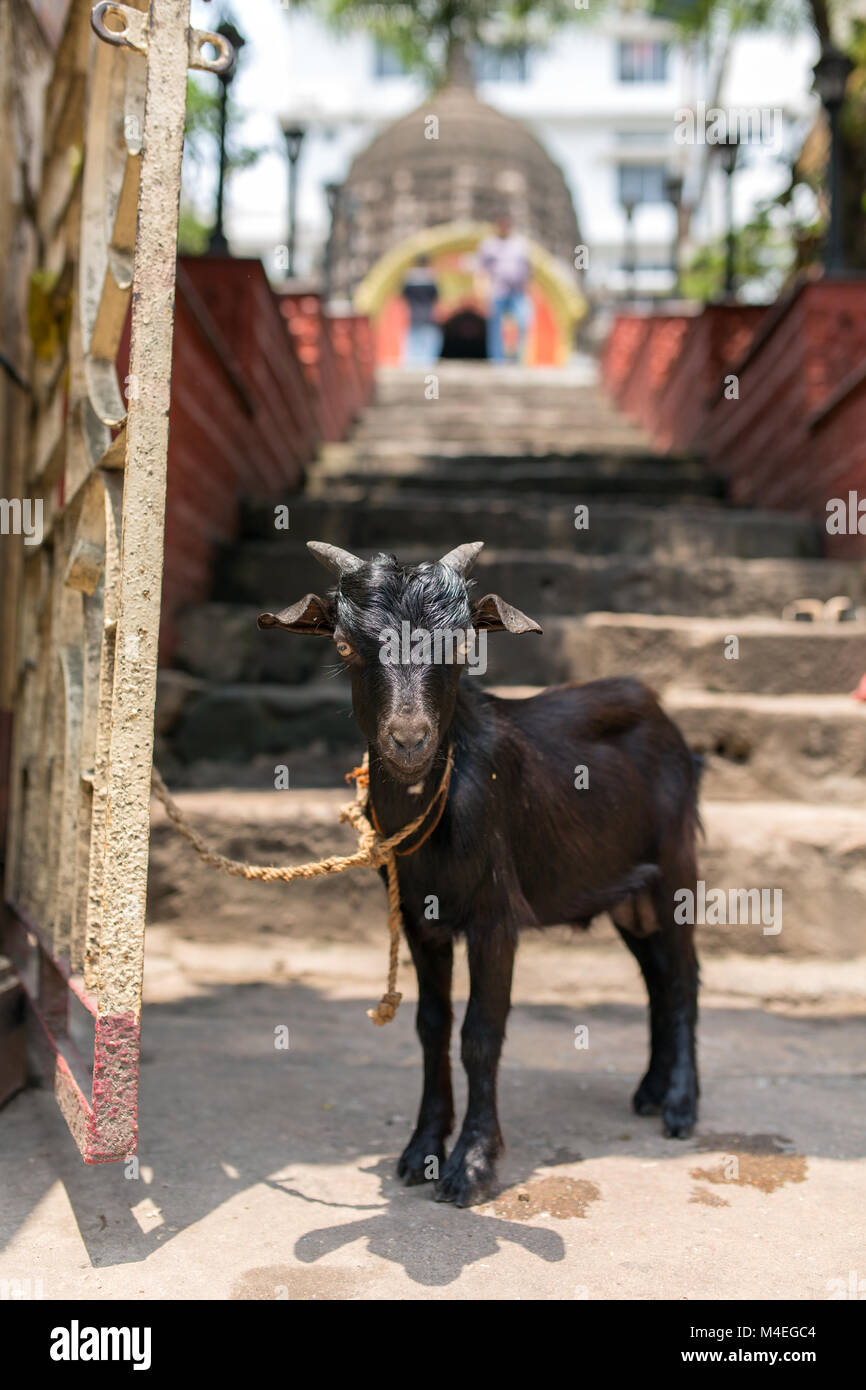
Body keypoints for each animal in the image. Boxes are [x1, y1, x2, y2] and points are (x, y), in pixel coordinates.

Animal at [259, 540, 701, 1207]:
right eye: (344, 645)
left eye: (465, 645)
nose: (410, 740)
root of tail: (657, 710)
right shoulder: (420, 920)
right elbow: (431, 1025)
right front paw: (421, 1151)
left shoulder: (495, 916)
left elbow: (481, 1033)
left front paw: (472, 1165)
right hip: (628, 892)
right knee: (655, 976)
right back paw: (650, 1091)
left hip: (675, 869)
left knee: (683, 977)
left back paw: (680, 1106)